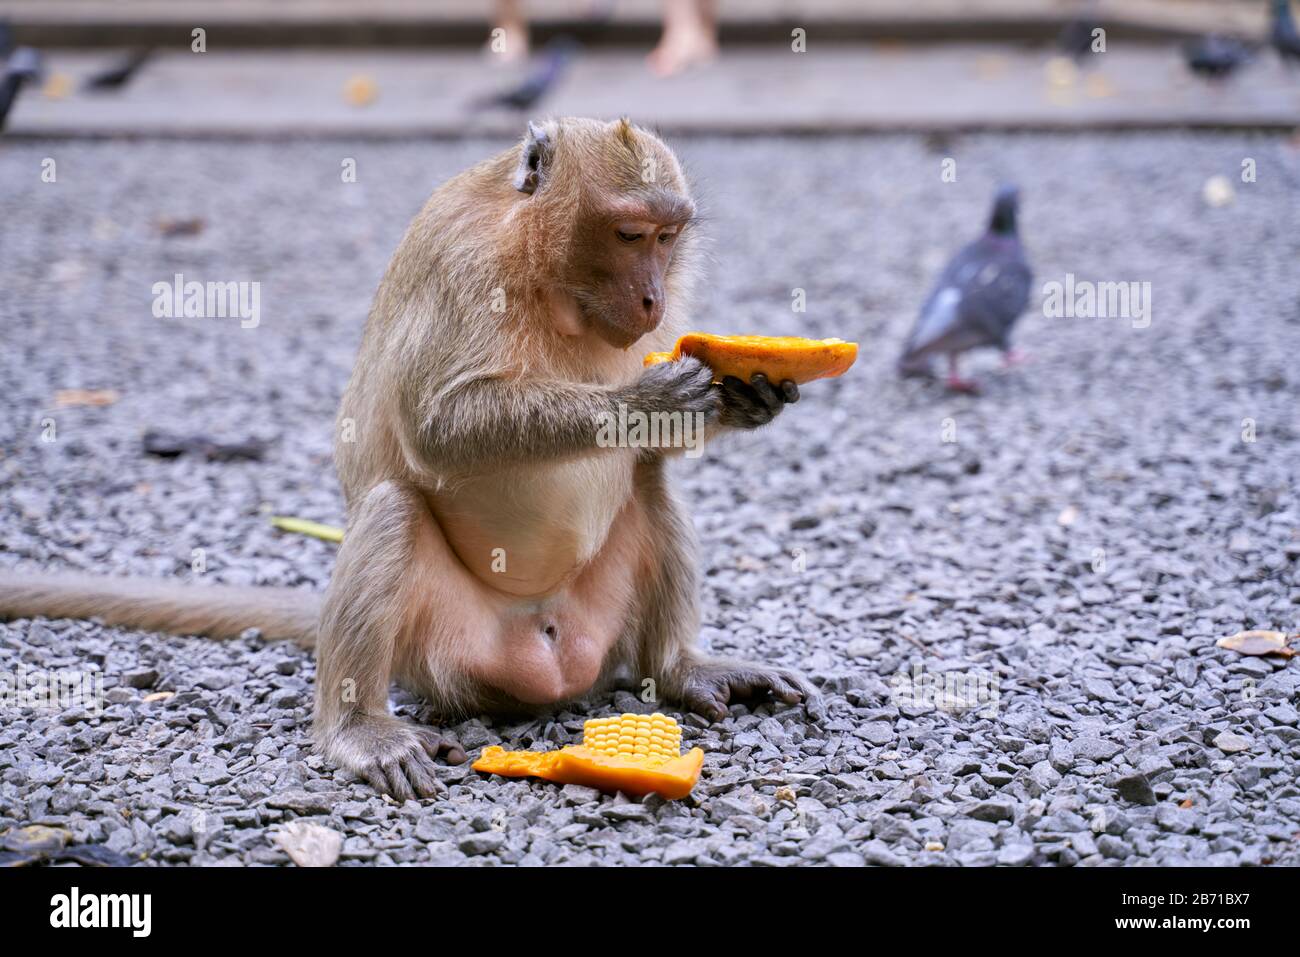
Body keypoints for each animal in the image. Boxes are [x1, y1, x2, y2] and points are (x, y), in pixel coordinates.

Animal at [0, 117, 816, 800]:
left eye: (668, 238)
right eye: (628, 233)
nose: (652, 298)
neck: (550, 278)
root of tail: (550, 653)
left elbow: (656, 446)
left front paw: (748, 396)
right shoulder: (465, 261)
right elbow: (438, 426)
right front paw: (647, 401)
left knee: (650, 484)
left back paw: (677, 669)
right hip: (443, 648)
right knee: (393, 510)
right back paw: (360, 731)